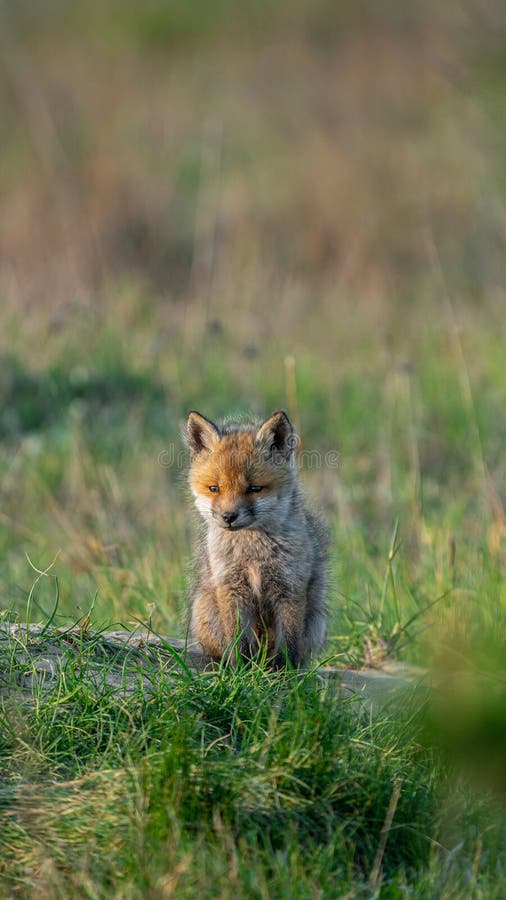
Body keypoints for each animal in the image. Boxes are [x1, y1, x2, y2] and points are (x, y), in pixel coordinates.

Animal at [185, 409, 328, 669]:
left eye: (254, 489)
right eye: (214, 488)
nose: (228, 516)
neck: (253, 555)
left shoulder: (289, 588)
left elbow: (288, 643)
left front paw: (284, 674)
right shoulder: (231, 588)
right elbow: (238, 641)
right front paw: (241, 672)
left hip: (316, 623)